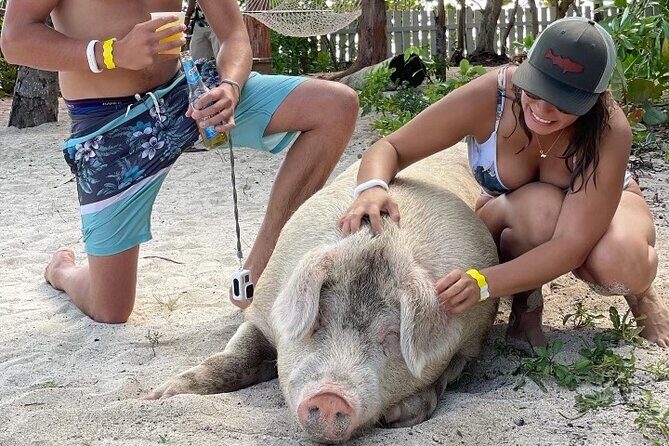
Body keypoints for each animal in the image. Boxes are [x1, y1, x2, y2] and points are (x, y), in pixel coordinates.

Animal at [147, 144, 501, 443]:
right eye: (318, 317)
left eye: (393, 333)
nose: (330, 398)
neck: (381, 239)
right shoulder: (263, 312)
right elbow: (235, 356)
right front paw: (157, 396)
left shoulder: (469, 341)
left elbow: (443, 378)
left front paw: (398, 416)